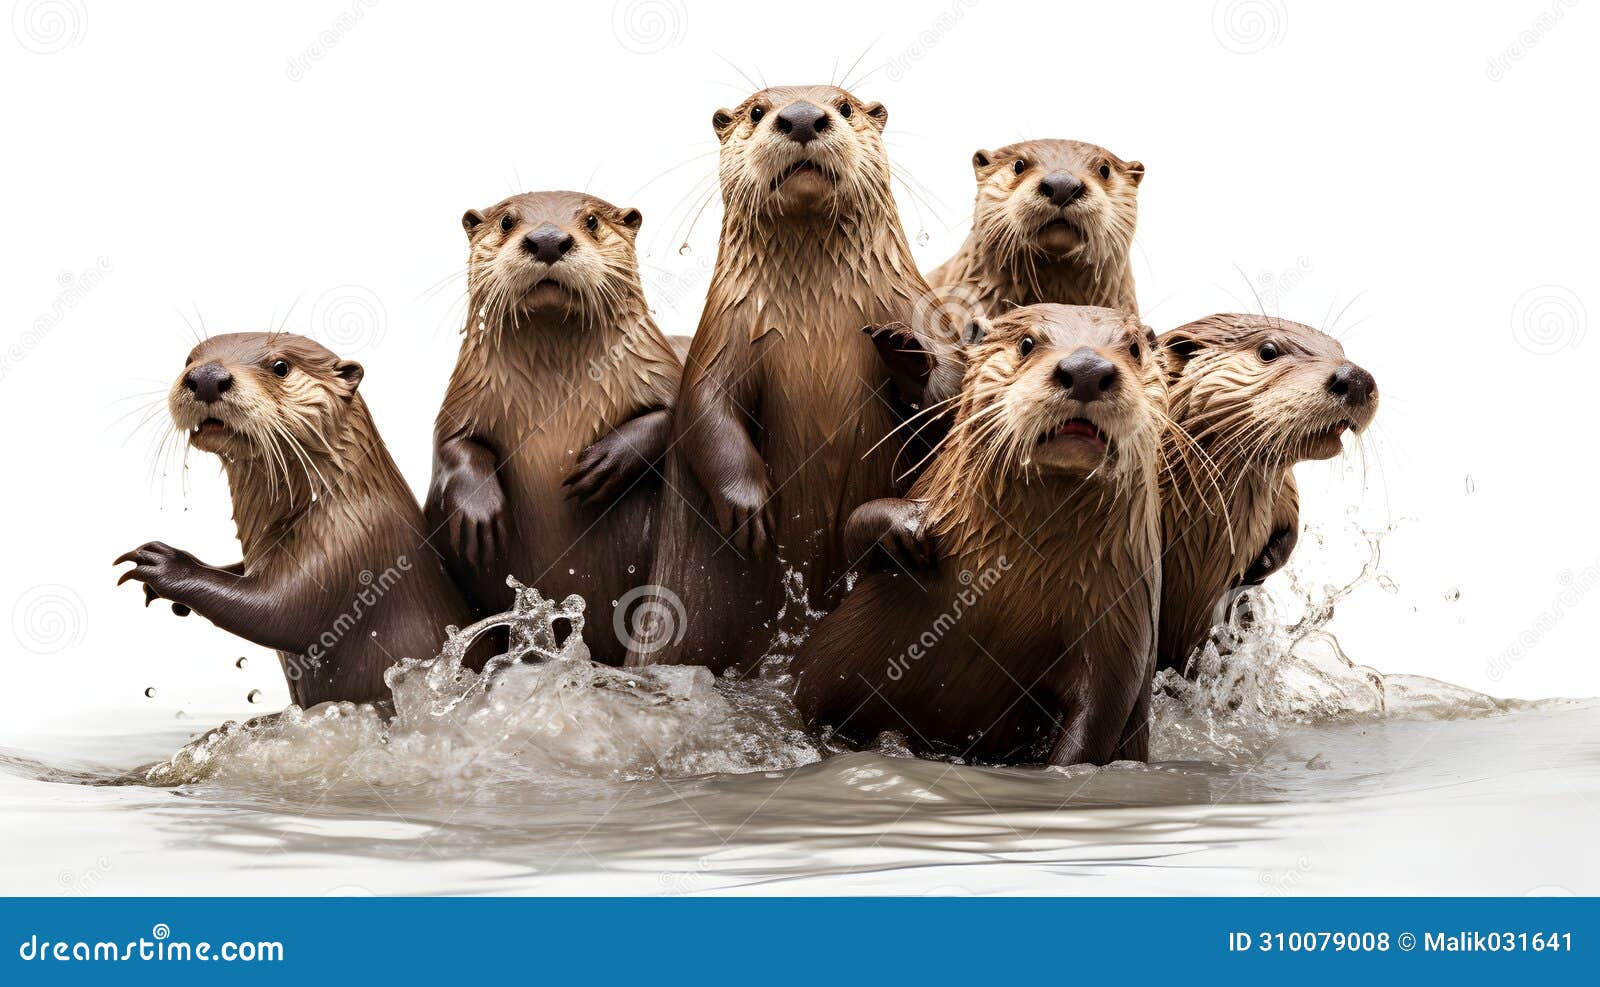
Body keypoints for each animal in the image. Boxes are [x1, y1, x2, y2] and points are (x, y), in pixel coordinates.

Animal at [116, 333, 472, 708]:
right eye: (189, 360)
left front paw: (167, 565)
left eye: (280, 366)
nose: (207, 377)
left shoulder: (352, 544)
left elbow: (280, 613)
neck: (335, 496)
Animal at [427, 190, 681, 668]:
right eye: (507, 221)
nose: (547, 240)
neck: (555, 402)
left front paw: (604, 464)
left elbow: (672, 417)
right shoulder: (464, 395)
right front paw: (480, 512)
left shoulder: (663, 369)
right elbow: (451, 445)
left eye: (593, 221)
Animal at [626, 84, 958, 675]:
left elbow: (957, 388)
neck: (817, 321)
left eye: (844, 106)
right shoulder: (722, 337)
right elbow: (704, 410)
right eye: (757, 111)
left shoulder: (920, 305)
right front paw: (747, 507)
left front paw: (906, 354)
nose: (802, 116)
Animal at [792, 304, 1166, 766]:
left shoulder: (1121, 627)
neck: (1017, 579)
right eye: (1026, 343)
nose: (1086, 370)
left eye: (1133, 349)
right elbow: (855, 537)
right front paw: (907, 530)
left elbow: (1096, 725)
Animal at [1156, 314, 1378, 674]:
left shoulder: (1286, 495)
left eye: (1340, 350)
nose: (1355, 378)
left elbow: (1290, 535)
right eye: (1269, 351)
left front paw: (1260, 567)